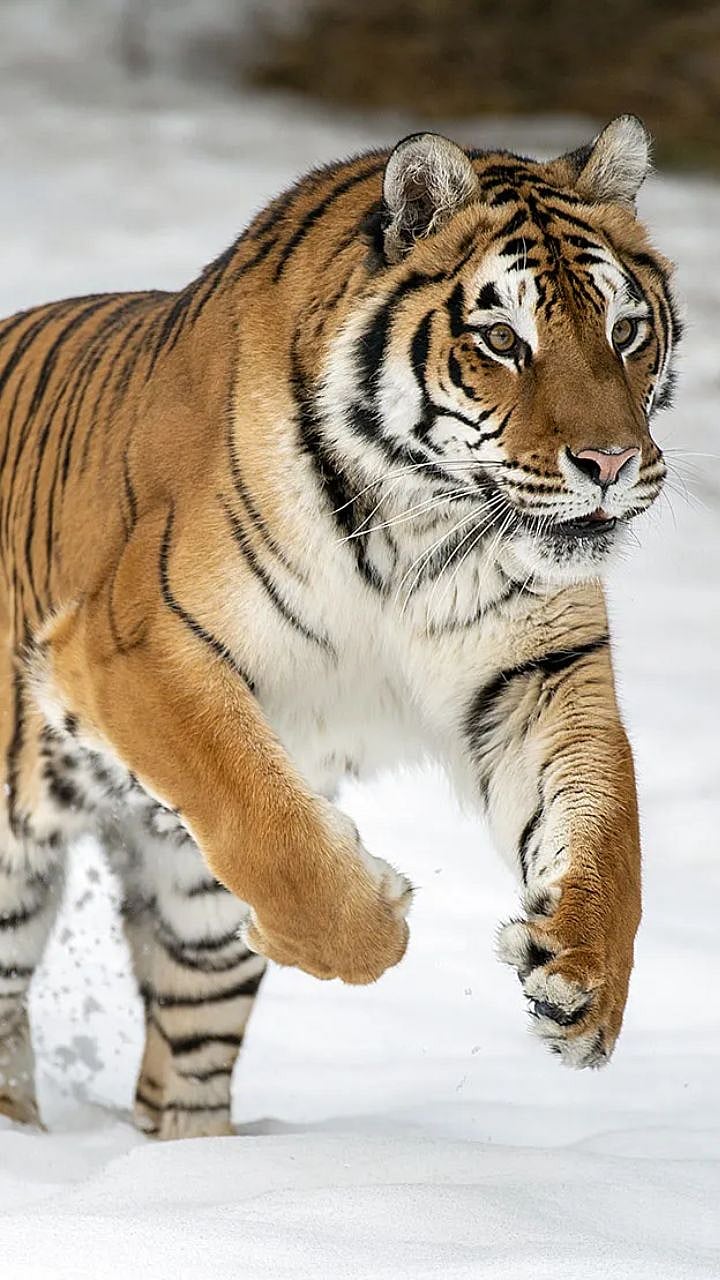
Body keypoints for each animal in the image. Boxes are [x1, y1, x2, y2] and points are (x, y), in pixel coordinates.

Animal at [0, 114, 680, 1139]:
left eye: (626, 330)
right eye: (503, 340)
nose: (611, 464)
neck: (421, 524)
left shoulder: (537, 673)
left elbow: (606, 826)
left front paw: (583, 982)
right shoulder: (137, 644)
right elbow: (262, 817)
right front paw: (376, 925)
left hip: (189, 920)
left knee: (185, 1060)